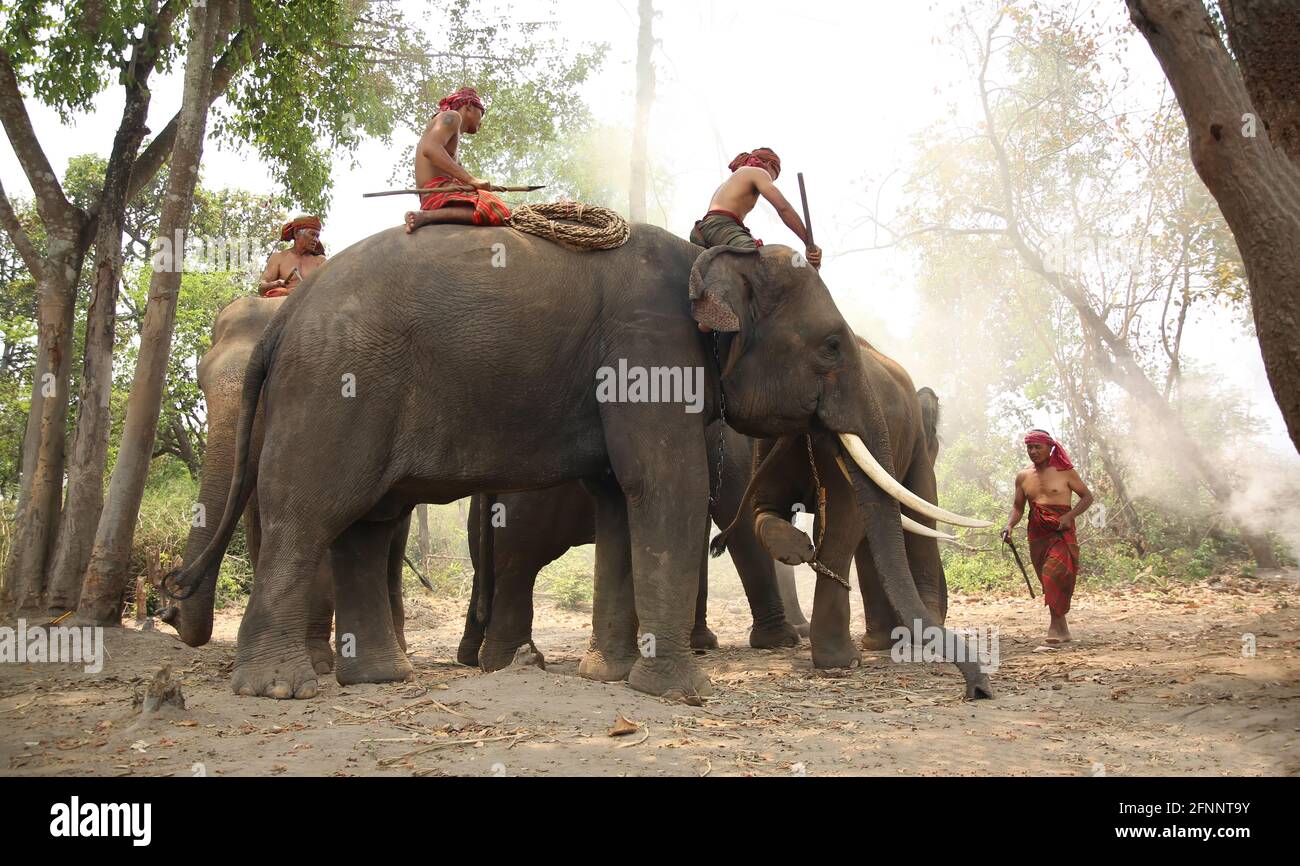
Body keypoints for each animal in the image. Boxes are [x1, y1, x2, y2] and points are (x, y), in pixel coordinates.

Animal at [457, 422, 807, 673]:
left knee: (485, 566)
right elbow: (738, 517)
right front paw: (781, 641)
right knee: (518, 563)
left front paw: (702, 643)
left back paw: (472, 658)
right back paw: (513, 662)